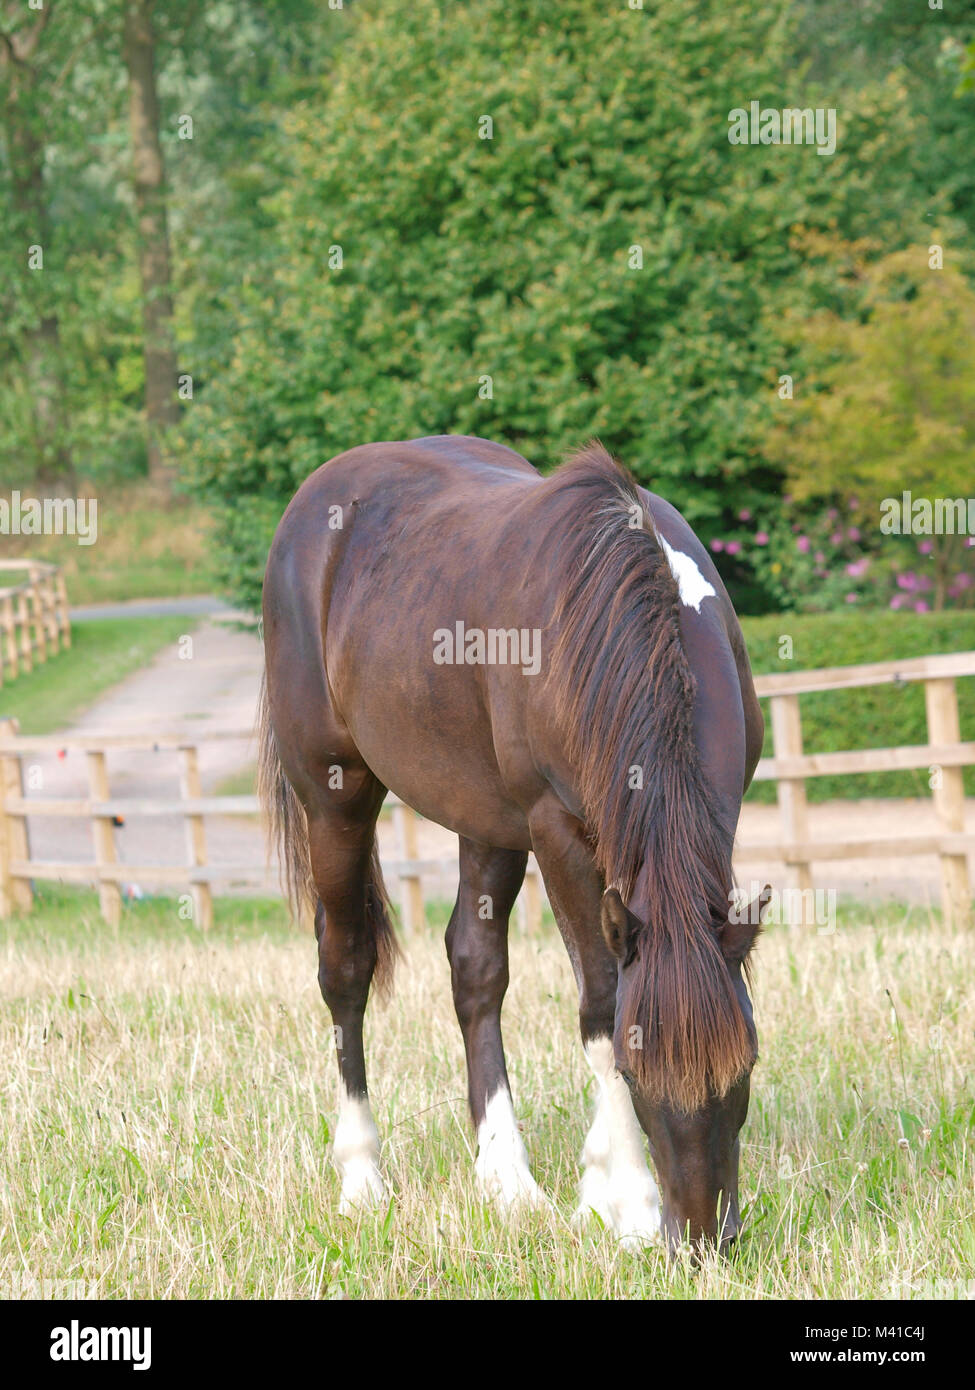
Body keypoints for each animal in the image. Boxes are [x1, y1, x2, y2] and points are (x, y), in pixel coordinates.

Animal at [258, 434, 769, 1255]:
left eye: (744, 1065)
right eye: (639, 1072)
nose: (700, 1242)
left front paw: (590, 1187)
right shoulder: (556, 832)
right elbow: (600, 1004)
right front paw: (626, 1203)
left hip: (485, 821)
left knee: (474, 969)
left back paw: (507, 1180)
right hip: (333, 796)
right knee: (345, 966)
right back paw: (362, 1177)